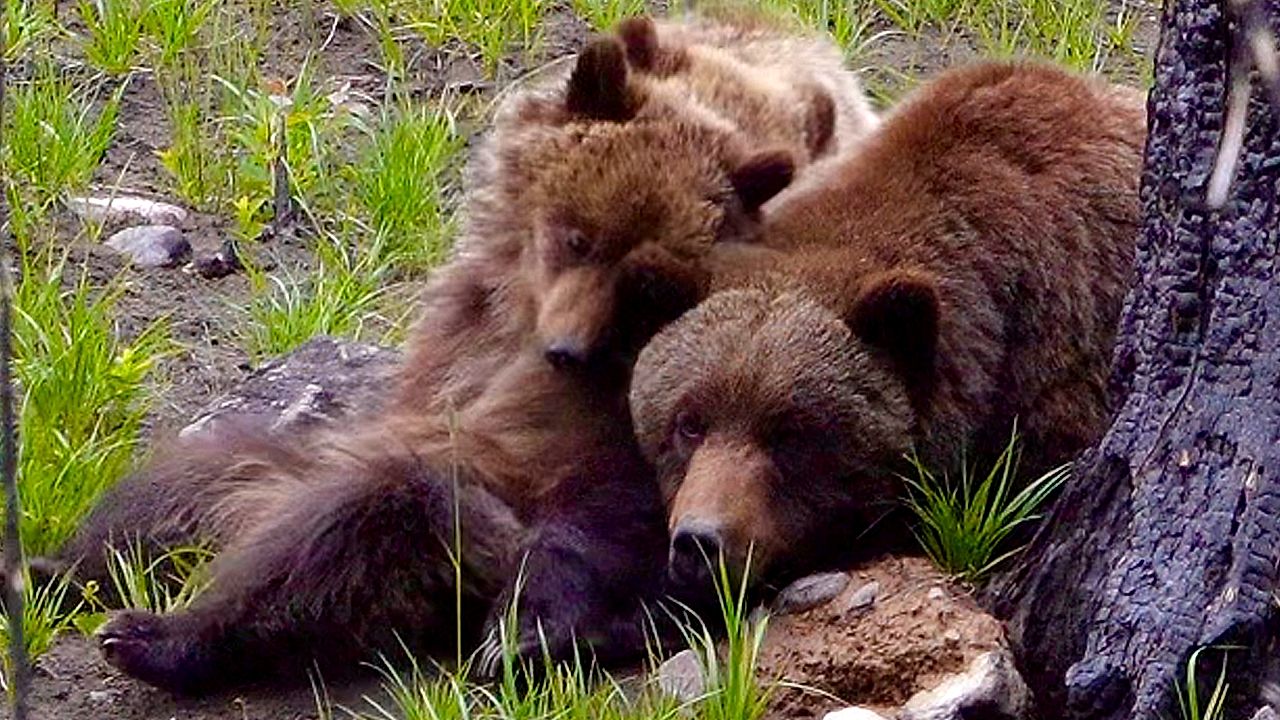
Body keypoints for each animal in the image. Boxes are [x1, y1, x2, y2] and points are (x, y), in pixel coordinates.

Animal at [53, 12, 879, 694]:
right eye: (577, 236)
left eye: (641, 280)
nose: (565, 351)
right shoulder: (466, 323)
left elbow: (628, 494)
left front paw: (531, 630)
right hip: (277, 464)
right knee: (181, 483)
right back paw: (64, 569)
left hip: (461, 524)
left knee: (347, 524)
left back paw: (156, 635)